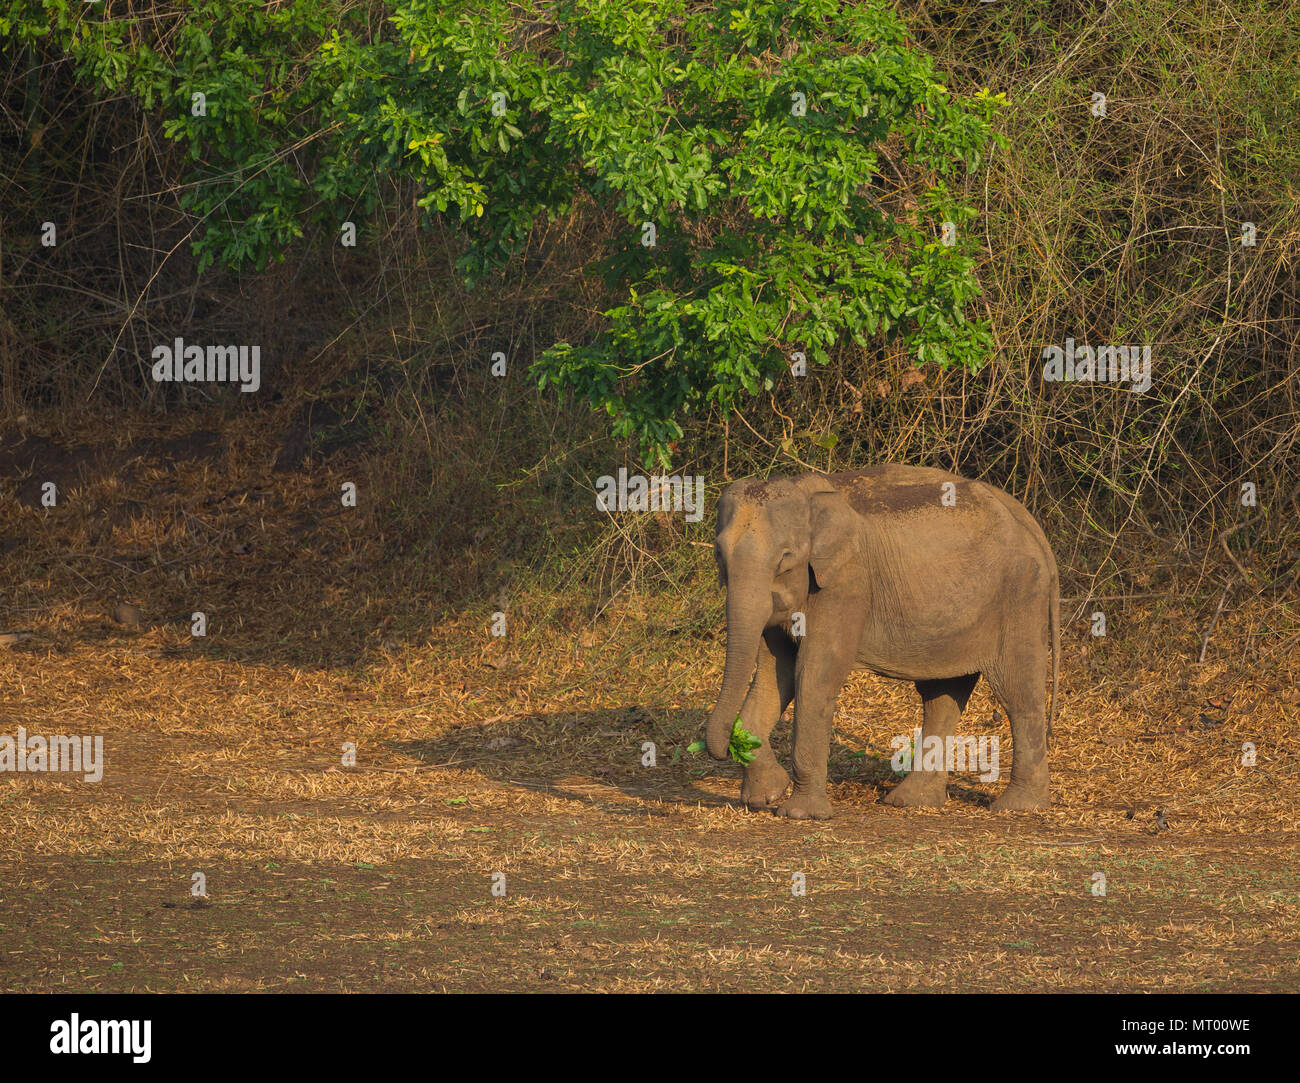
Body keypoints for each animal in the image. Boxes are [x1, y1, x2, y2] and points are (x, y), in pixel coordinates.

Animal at [704, 465, 1059, 819]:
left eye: (785, 558)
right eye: (719, 554)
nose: (725, 749)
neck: (805, 492)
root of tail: (1031, 524)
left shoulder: (848, 582)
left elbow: (814, 677)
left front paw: (800, 813)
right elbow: (774, 675)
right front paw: (765, 794)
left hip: (1020, 595)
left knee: (1018, 694)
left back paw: (1017, 806)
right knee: (942, 696)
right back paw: (910, 800)